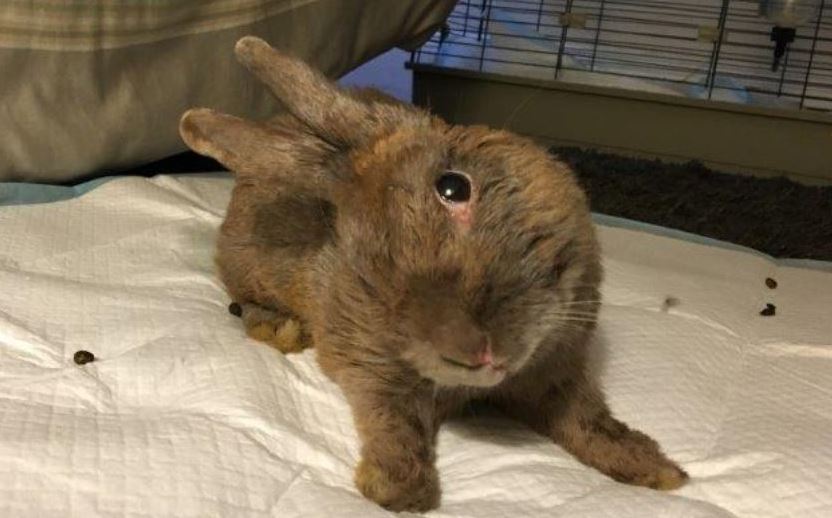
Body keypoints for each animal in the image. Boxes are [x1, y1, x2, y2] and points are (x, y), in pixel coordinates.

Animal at [179, 36, 688, 512]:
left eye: (453, 186)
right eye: (365, 268)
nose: (471, 349)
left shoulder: (558, 371)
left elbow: (584, 419)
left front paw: (656, 469)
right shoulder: (365, 361)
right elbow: (390, 417)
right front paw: (397, 489)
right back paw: (278, 328)